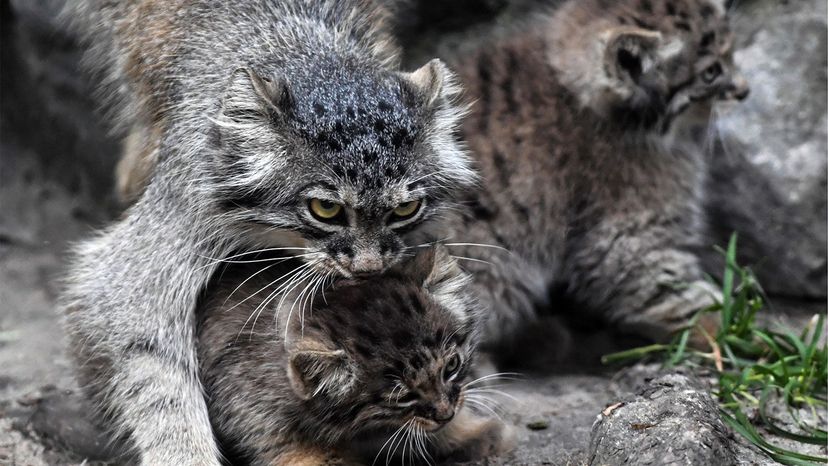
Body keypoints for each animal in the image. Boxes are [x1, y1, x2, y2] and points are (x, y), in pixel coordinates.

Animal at [62, 1, 476, 464]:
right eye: (326, 209)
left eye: (405, 208)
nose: (369, 268)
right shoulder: (166, 232)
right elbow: (154, 373)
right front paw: (186, 453)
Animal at [440, 0, 752, 354]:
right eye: (711, 72)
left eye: (732, 53)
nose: (745, 91)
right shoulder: (626, 234)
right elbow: (670, 295)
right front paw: (737, 331)